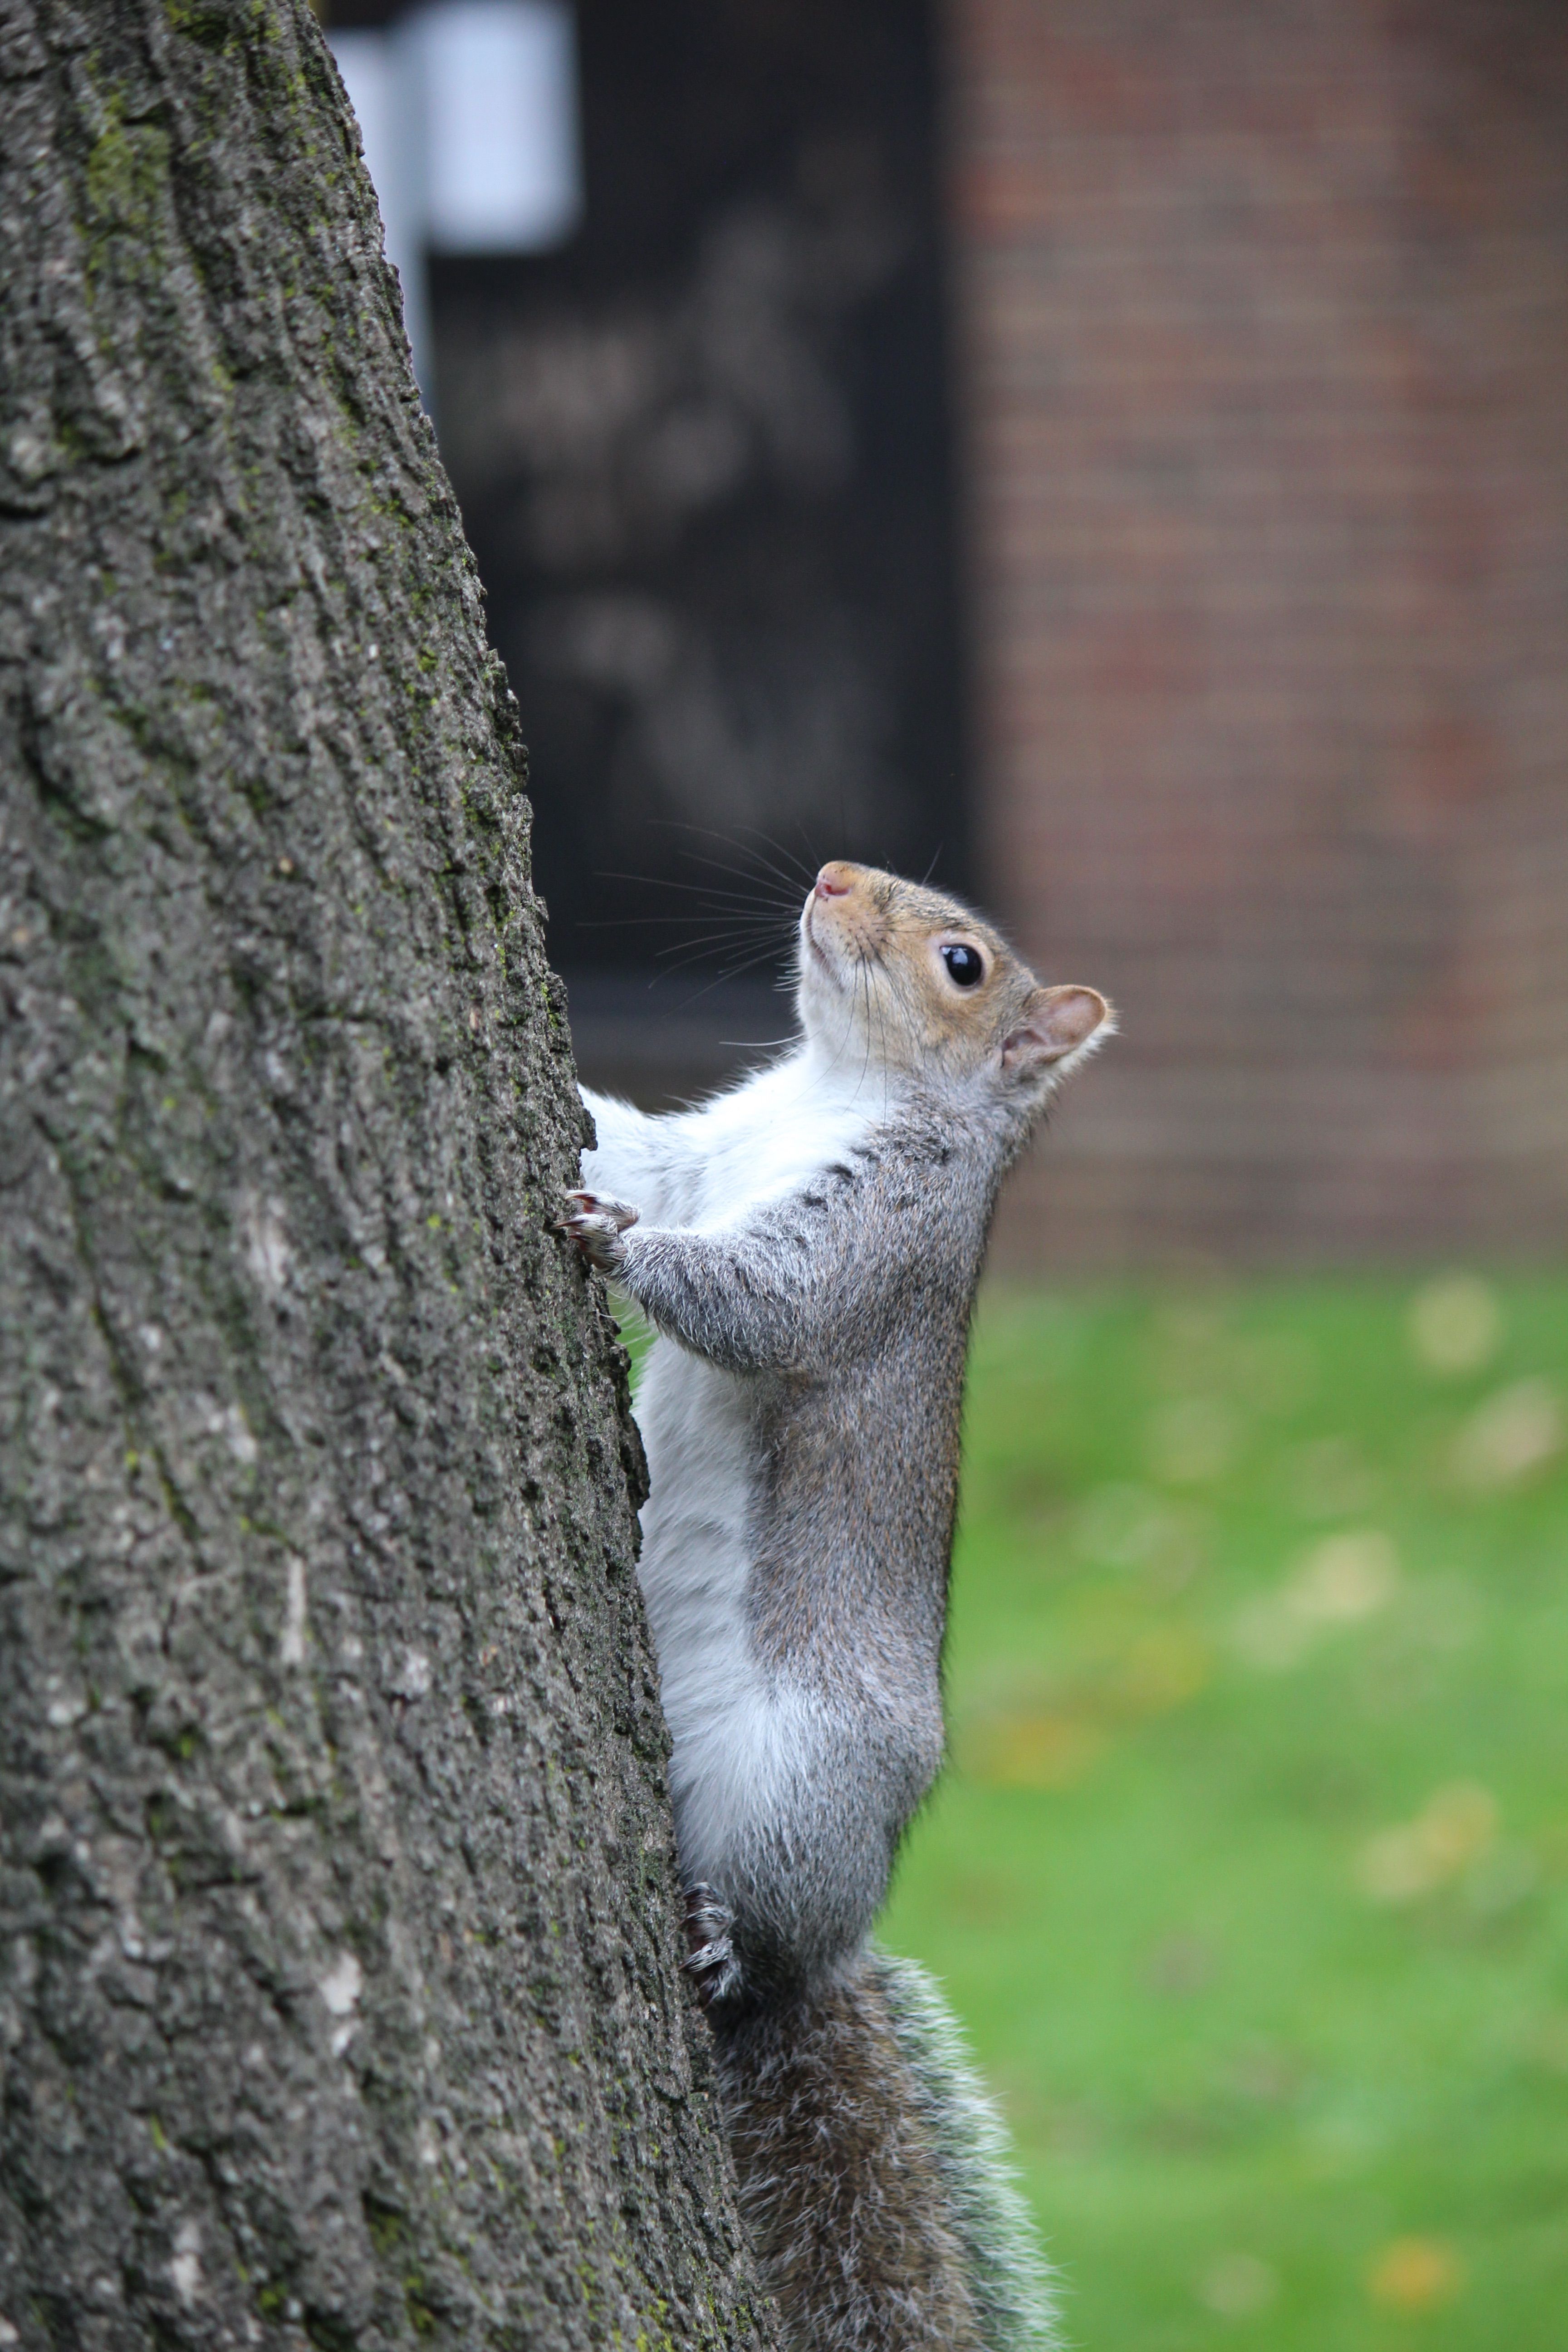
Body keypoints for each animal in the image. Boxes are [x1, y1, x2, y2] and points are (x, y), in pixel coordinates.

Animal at [562, 861, 1113, 2352]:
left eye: (963, 963)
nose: (831, 874)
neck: (834, 1087)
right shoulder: (704, 1149)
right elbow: (629, 1148)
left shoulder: (877, 1235)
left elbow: (767, 1304)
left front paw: (617, 1246)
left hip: (803, 1776)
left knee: (766, 1937)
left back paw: (726, 1946)